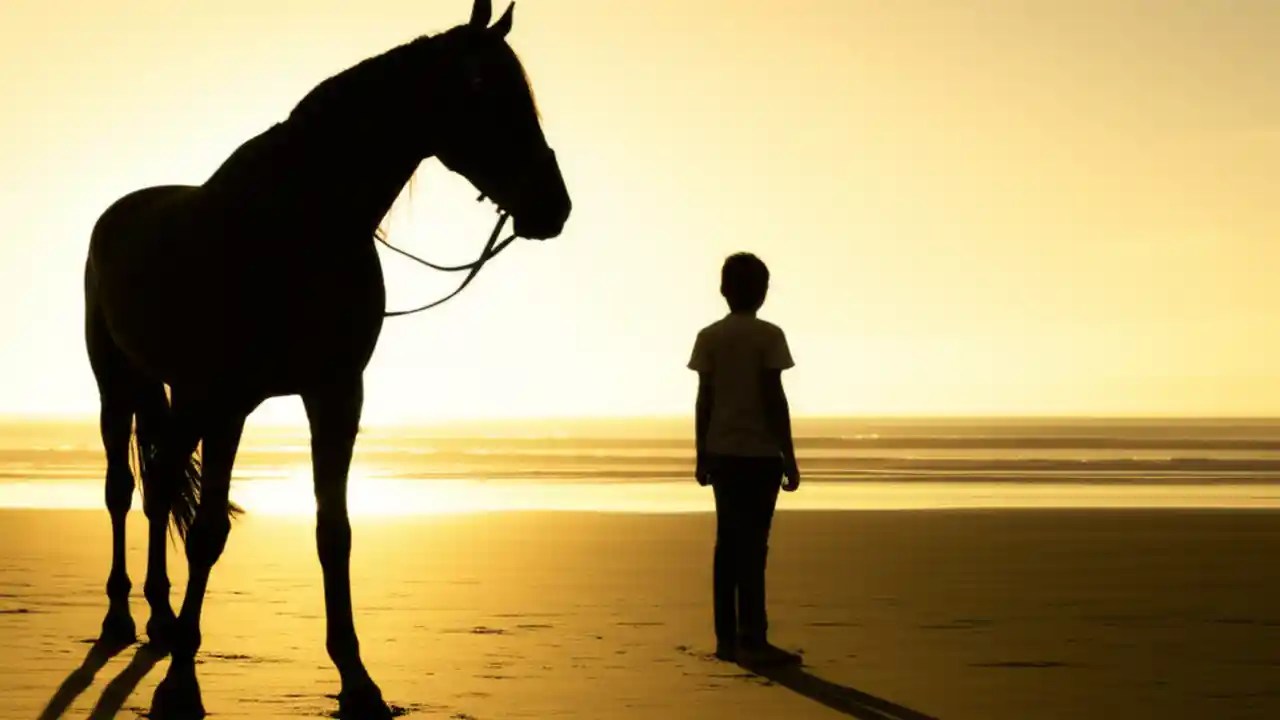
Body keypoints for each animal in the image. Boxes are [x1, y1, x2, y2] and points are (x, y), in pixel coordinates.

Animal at [82, 0, 570, 715]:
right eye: (483, 88)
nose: (553, 204)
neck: (298, 226)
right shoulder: (228, 403)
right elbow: (208, 534)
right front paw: (181, 685)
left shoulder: (335, 395)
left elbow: (332, 532)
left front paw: (357, 679)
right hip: (122, 386)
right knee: (123, 490)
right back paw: (121, 617)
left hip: (177, 398)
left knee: (161, 485)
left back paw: (163, 620)